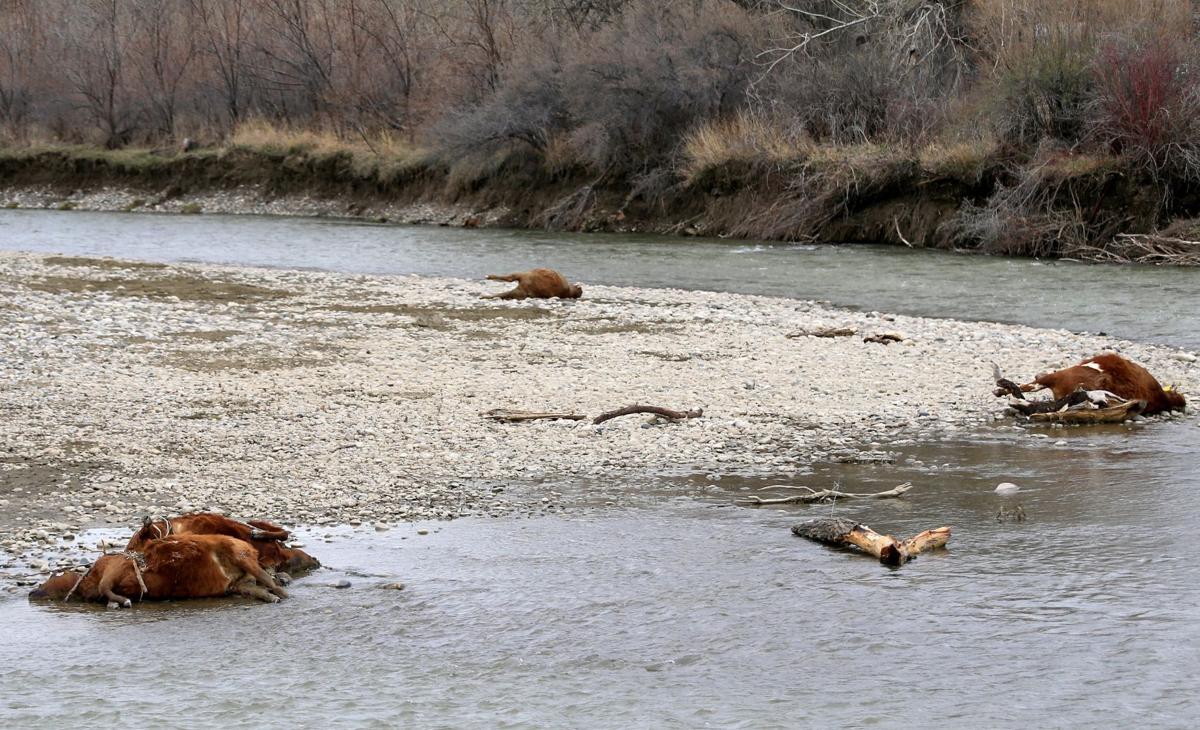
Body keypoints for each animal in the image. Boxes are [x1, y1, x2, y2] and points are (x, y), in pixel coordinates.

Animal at [30, 534, 289, 606]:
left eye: (47, 579)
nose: (31, 592)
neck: (87, 579)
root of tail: (250, 547)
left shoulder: (115, 566)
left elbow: (106, 588)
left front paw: (122, 601)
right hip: (238, 583)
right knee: (256, 588)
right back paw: (272, 597)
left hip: (239, 553)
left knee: (267, 578)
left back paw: (281, 593)